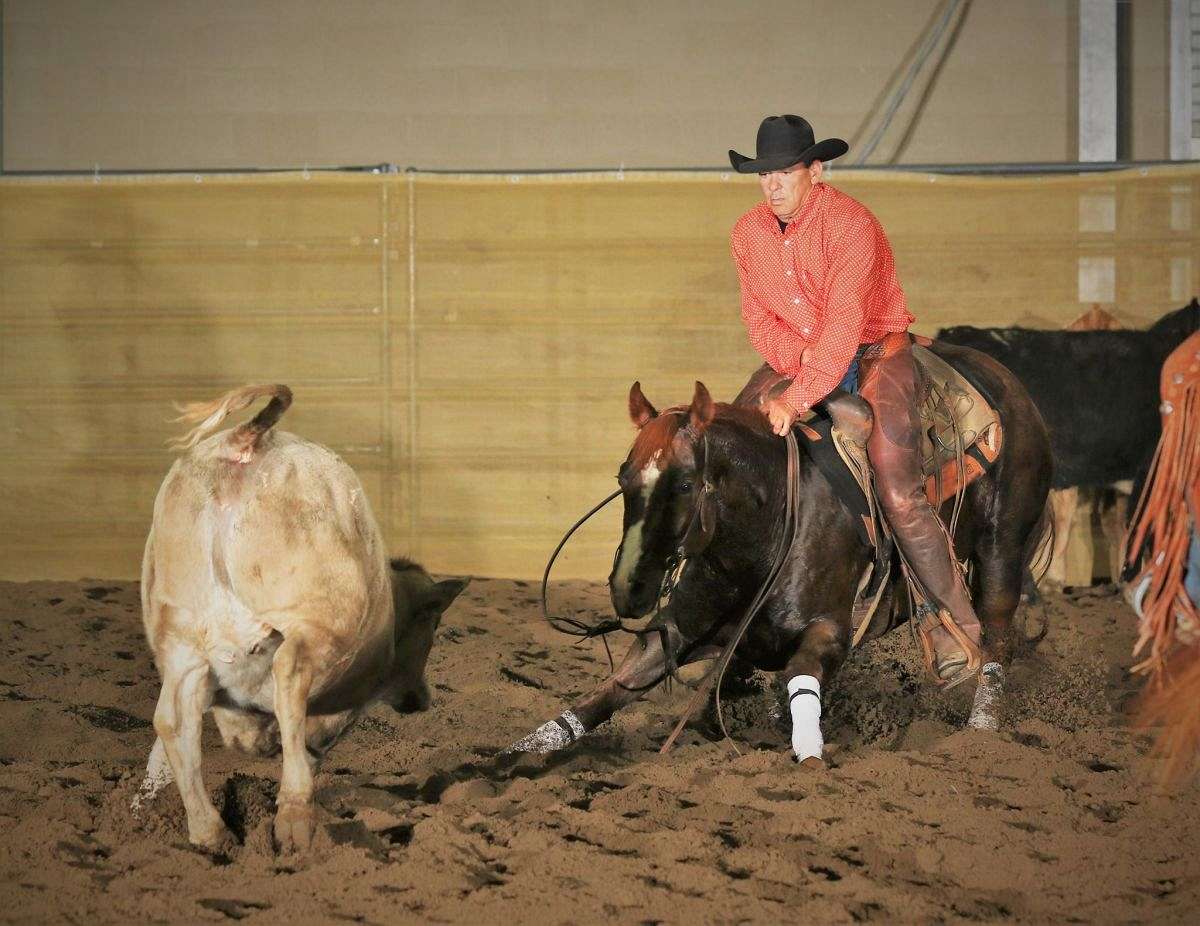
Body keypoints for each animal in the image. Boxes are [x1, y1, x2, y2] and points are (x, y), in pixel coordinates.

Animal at [136, 383, 463, 854]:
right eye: (432, 627)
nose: (421, 699)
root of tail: (247, 443)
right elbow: (314, 734)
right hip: (315, 624)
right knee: (288, 679)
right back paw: (294, 816)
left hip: (181, 638)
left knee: (173, 722)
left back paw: (211, 832)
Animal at [511, 343, 1056, 762]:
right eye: (623, 478)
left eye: (684, 483)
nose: (629, 589)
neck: (763, 538)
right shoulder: (674, 631)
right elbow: (602, 697)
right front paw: (512, 755)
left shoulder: (830, 632)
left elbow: (801, 679)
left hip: (1001, 548)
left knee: (997, 631)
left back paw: (980, 728)